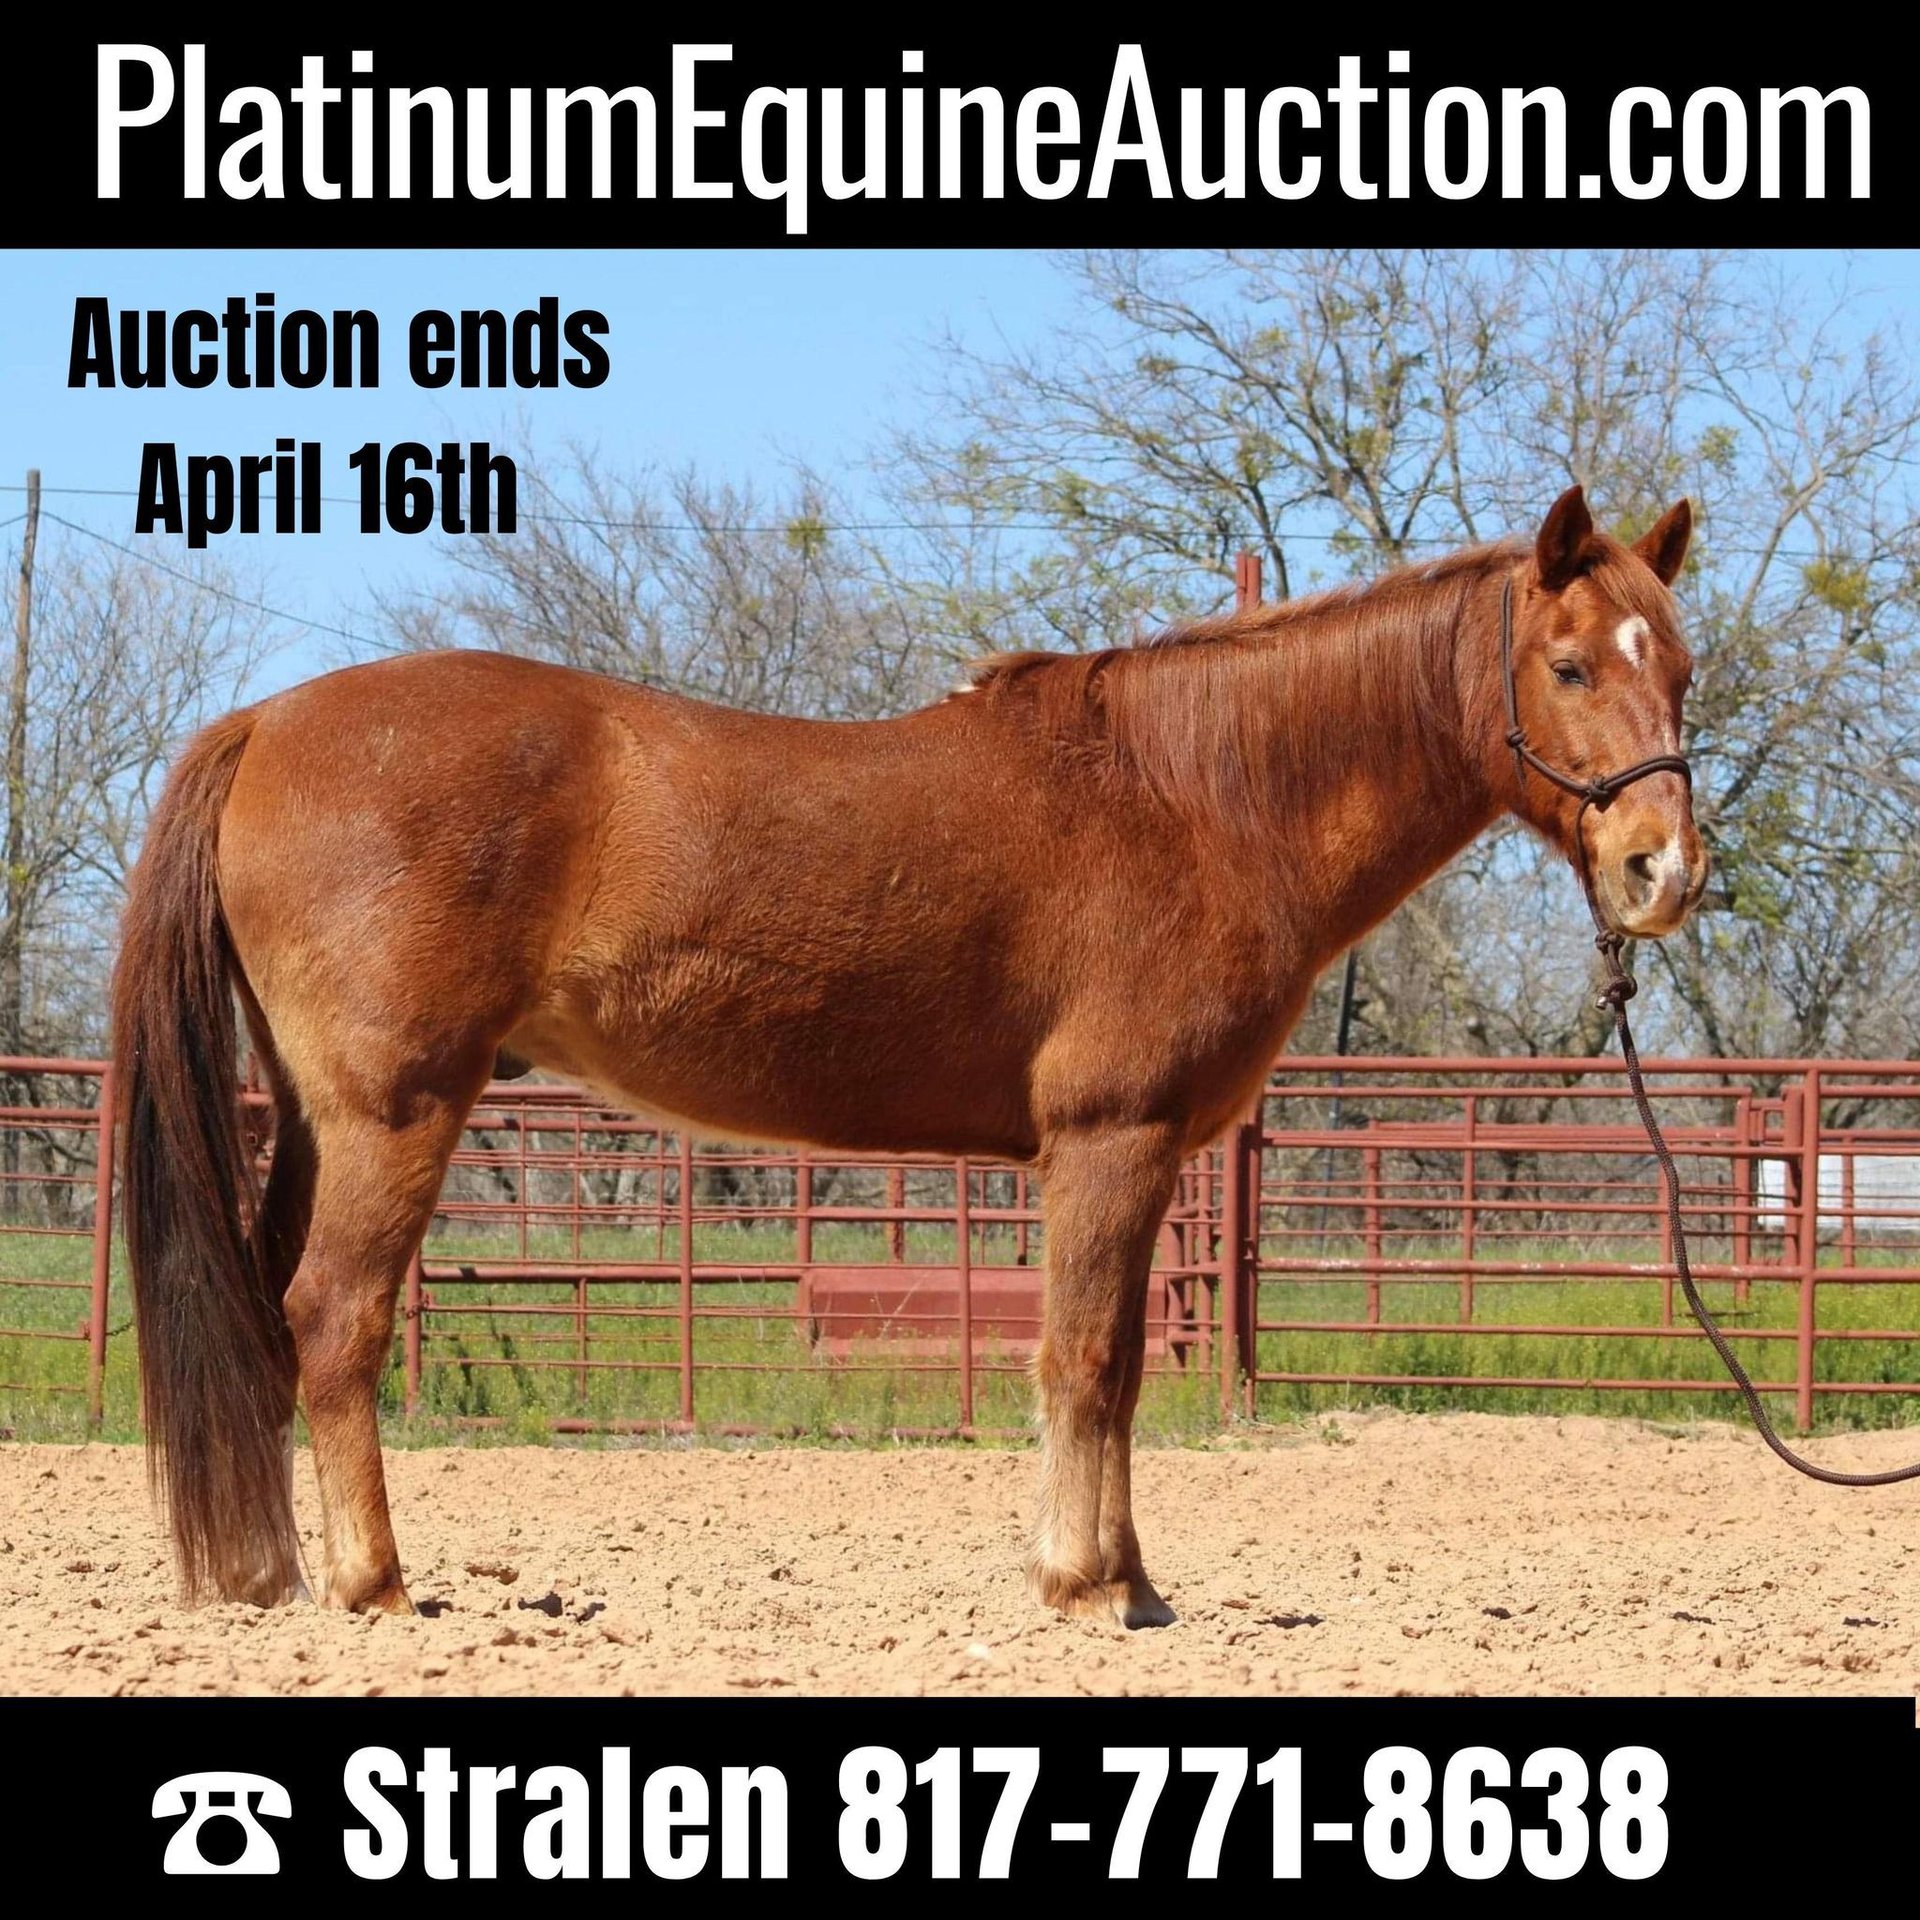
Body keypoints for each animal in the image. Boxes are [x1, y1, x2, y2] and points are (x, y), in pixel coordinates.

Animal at [110, 483, 1704, 1627]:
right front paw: (1080, 1586)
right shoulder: (1108, 1141)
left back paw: (267, 1575)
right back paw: (374, 1587)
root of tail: (266, 721)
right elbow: (1083, 1359)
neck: (1197, 800)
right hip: (398, 1114)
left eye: (1680, 668)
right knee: (332, 1320)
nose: (1662, 870)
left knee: (267, 1313)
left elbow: (1123, 1364)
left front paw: (1132, 1581)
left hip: (314, 1120)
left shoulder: (1136, 1161)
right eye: (1567, 665)